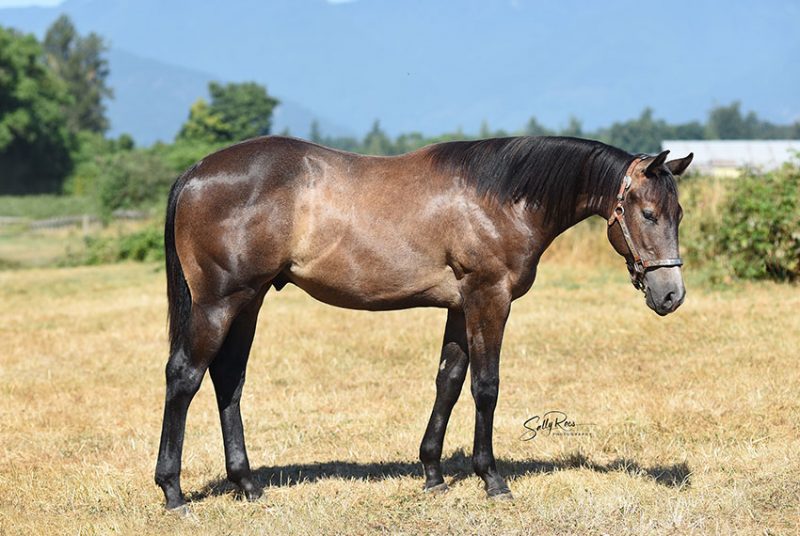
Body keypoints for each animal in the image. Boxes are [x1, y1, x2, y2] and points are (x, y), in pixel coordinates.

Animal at [154, 135, 693, 514]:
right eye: (648, 213)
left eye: (680, 212)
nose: (671, 295)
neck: (499, 198)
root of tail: (196, 172)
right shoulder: (488, 298)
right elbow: (486, 386)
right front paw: (491, 479)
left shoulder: (459, 307)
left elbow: (448, 381)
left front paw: (433, 473)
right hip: (219, 303)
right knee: (184, 378)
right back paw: (173, 491)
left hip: (249, 301)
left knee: (228, 380)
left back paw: (247, 483)